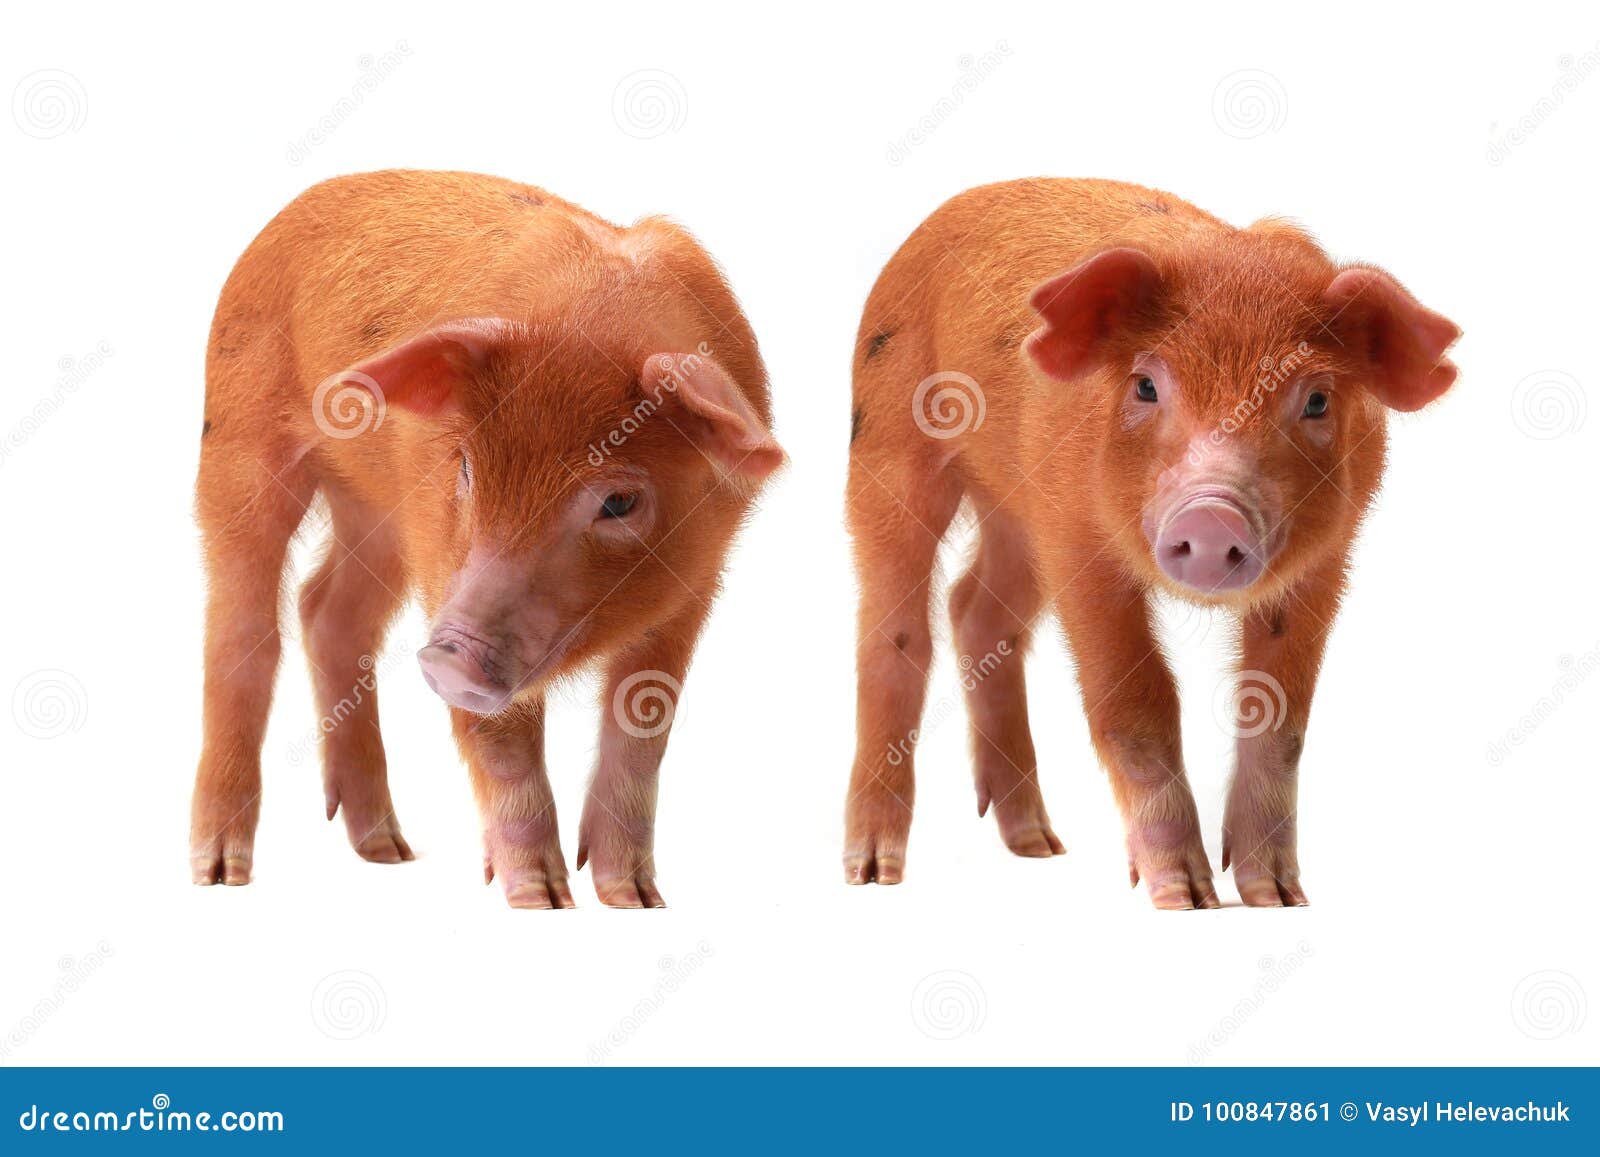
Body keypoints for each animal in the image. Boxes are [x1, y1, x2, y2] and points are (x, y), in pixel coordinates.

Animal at [190, 170, 782, 908]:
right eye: (468, 467)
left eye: (618, 502)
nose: (449, 656)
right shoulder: (447, 563)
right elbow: (501, 737)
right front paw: (542, 900)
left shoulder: (698, 582)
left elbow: (644, 725)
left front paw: (635, 898)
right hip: (238, 438)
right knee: (242, 631)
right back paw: (220, 873)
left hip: (377, 512)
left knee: (328, 610)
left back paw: (389, 851)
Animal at [844, 179, 1459, 908]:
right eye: (1145, 386)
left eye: (1315, 400)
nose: (1213, 514)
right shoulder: (1078, 541)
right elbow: (1136, 697)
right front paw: (1185, 898)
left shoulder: (1326, 563)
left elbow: (1279, 717)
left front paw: (1277, 896)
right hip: (887, 441)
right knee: (896, 630)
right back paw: (873, 871)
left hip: (1015, 512)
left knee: (976, 609)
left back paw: (1039, 846)